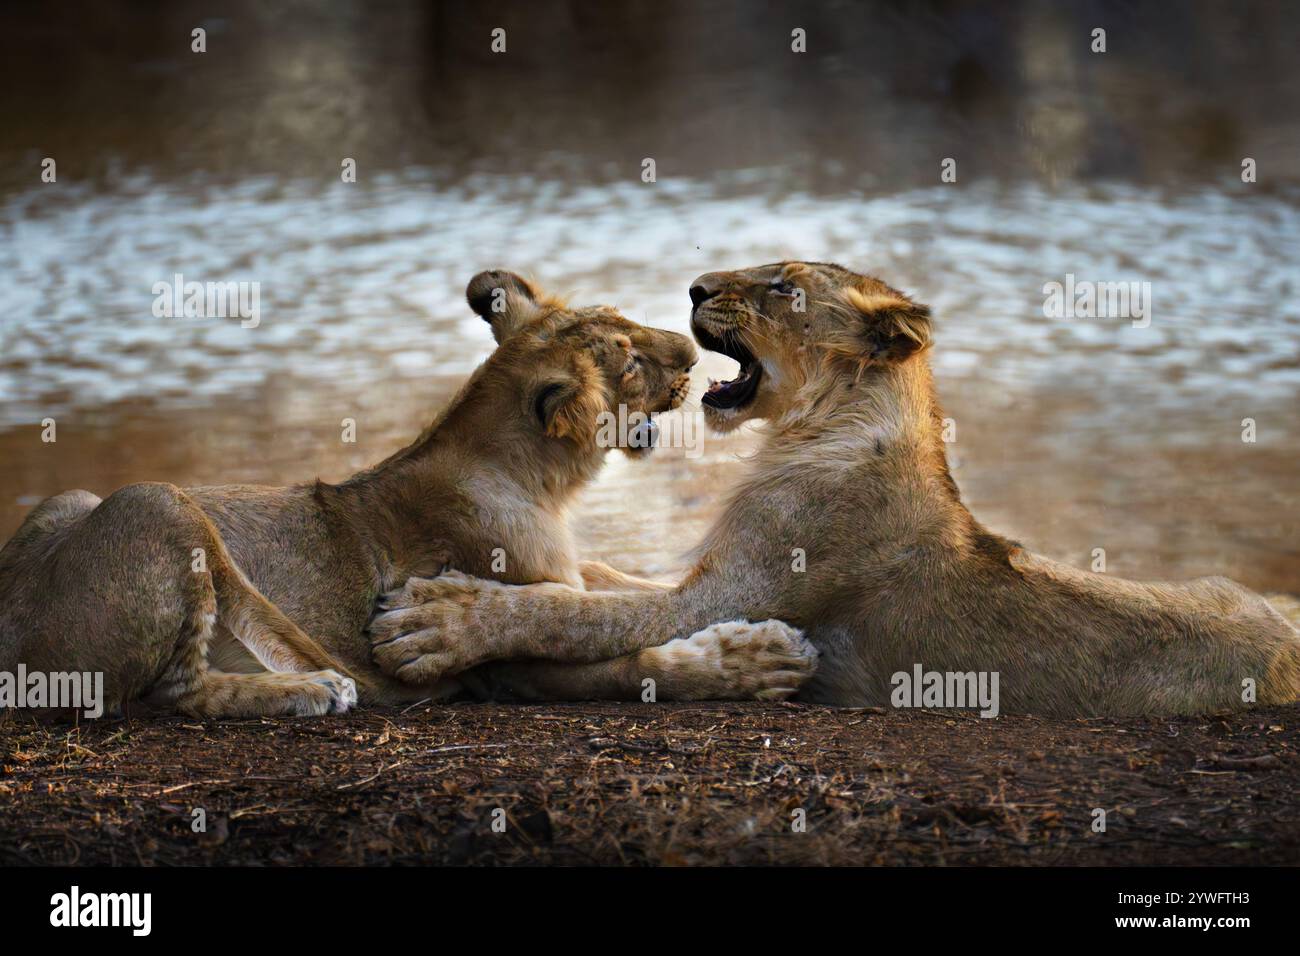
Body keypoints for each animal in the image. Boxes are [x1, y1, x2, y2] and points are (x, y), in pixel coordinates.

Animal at [0, 270, 818, 719]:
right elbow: (634, 660)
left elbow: (641, 591)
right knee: (175, 693)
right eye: (626, 357)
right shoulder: (511, 671)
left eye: (622, 321)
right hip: (156, 500)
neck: (543, 486)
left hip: (70, 498)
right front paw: (756, 659)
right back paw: (313, 687)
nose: (689, 350)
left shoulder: (580, 573)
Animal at [366, 262, 1300, 716]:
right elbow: (591, 581)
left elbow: (563, 613)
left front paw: (437, 623)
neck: (814, 428)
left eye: (785, 287)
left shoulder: (731, 594)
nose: (696, 288)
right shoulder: (709, 574)